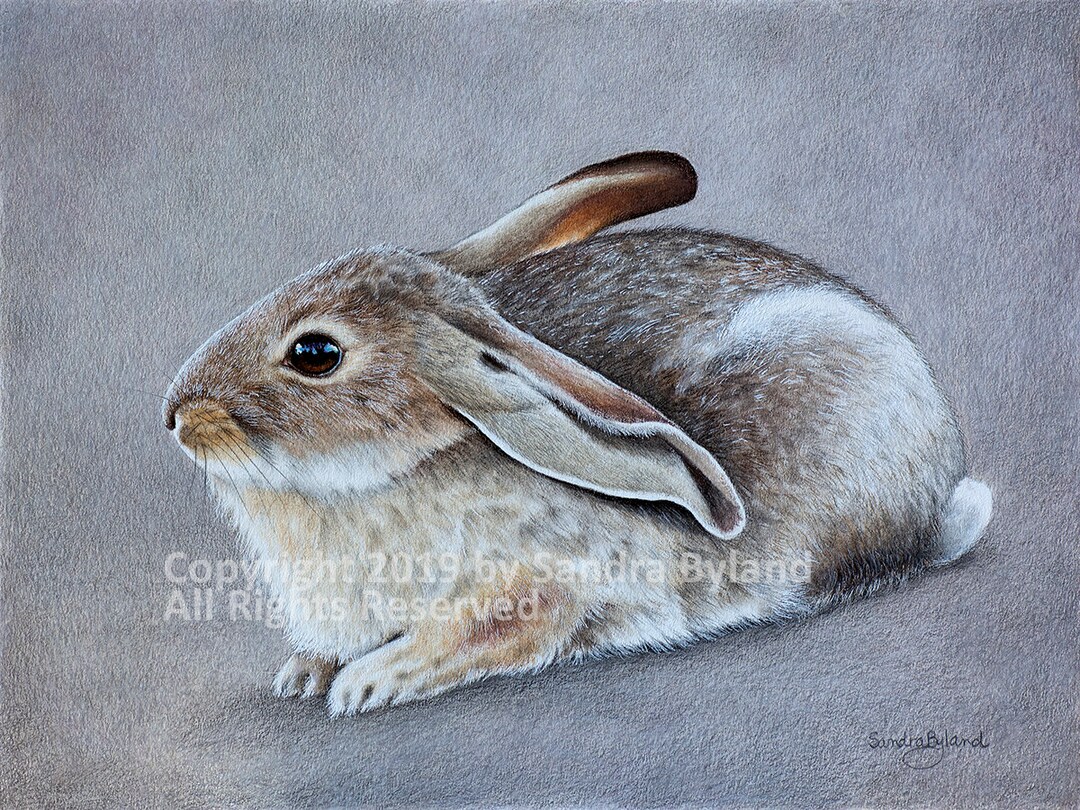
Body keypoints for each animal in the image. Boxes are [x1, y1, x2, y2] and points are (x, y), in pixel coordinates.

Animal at [163, 151, 992, 716]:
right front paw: (303, 673)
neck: (398, 466)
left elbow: (482, 632)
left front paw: (367, 682)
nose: (176, 414)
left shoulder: (556, 580)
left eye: (315, 353)